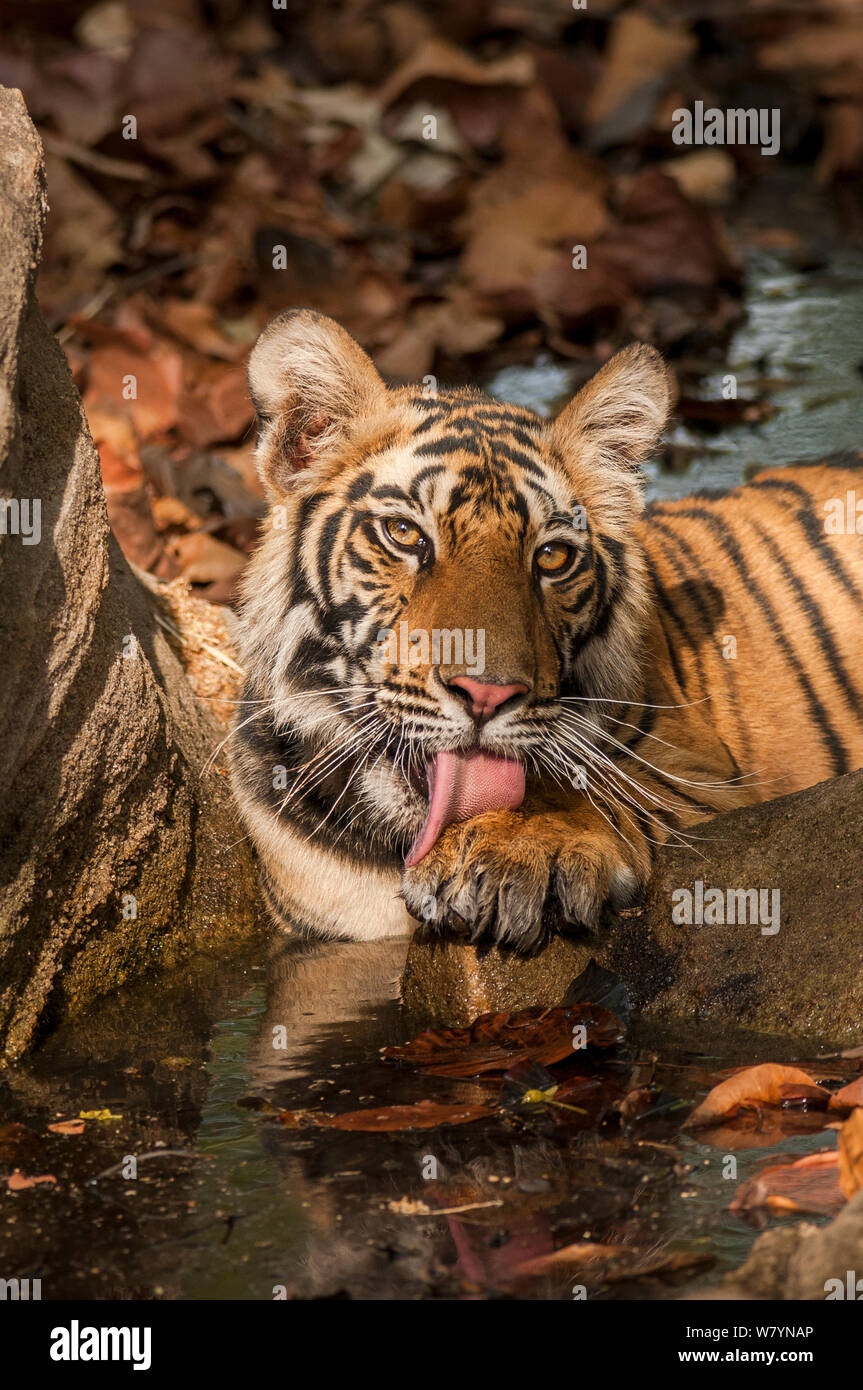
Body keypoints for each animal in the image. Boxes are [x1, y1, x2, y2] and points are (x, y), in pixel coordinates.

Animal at [229, 309, 861, 950]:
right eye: (404, 535)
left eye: (552, 557)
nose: (487, 695)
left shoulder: (711, 779)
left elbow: (600, 787)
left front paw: (520, 848)